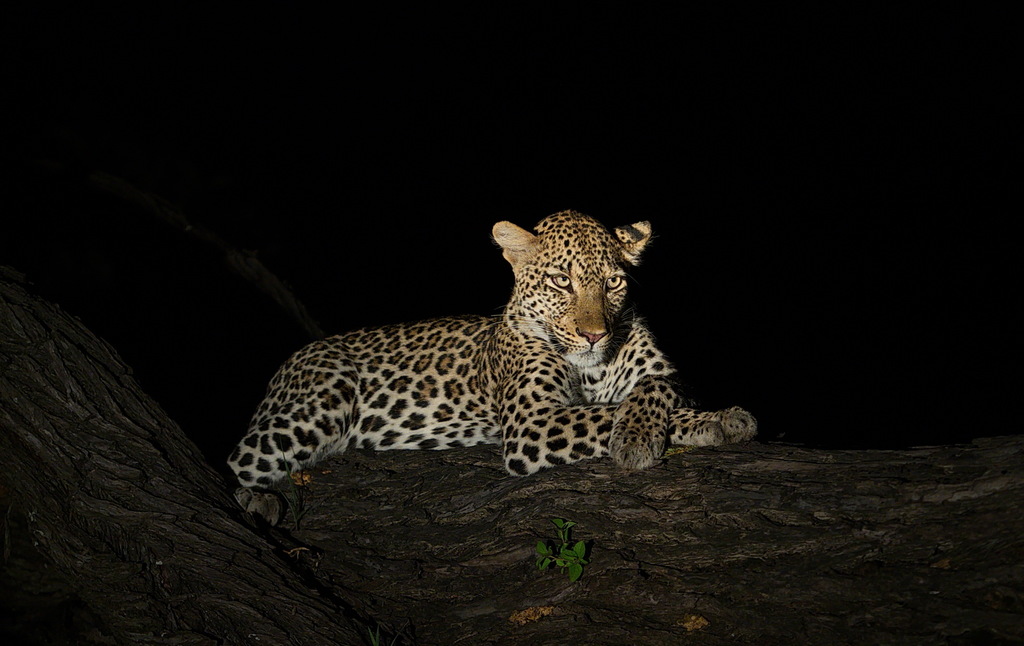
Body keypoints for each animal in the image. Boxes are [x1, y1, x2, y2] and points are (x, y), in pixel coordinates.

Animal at [227, 210, 756, 518]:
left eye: (613, 282)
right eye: (561, 281)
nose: (594, 334)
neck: (591, 367)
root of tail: (295, 357)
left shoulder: (663, 377)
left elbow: (653, 391)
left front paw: (712, 420)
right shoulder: (532, 424)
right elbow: (600, 415)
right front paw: (638, 438)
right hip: (316, 406)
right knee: (241, 458)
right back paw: (256, 500)